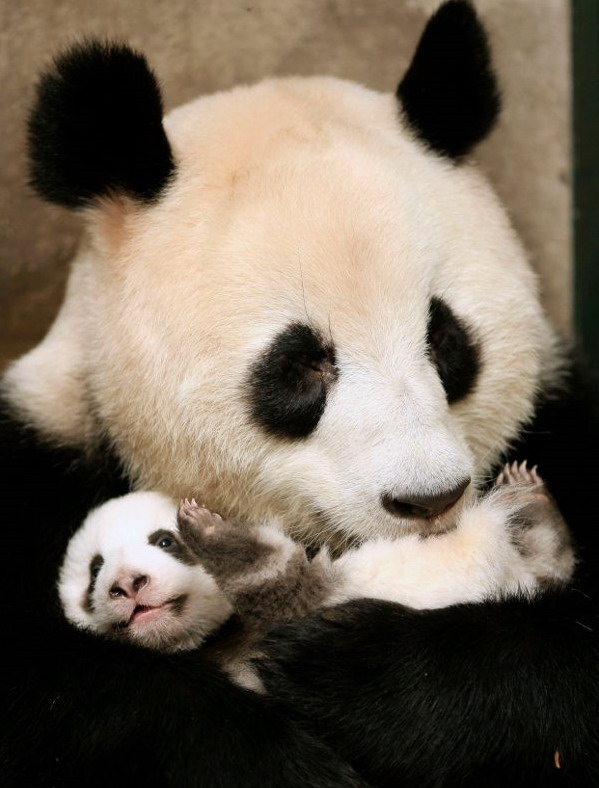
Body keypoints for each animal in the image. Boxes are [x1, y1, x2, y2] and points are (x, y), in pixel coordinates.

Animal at [1, 0, 598, 786]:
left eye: (444, 337)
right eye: (302, 364)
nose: (428, 499)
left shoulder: (562, 417)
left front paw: (358, 673)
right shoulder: (40, 466)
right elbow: (79, 692)